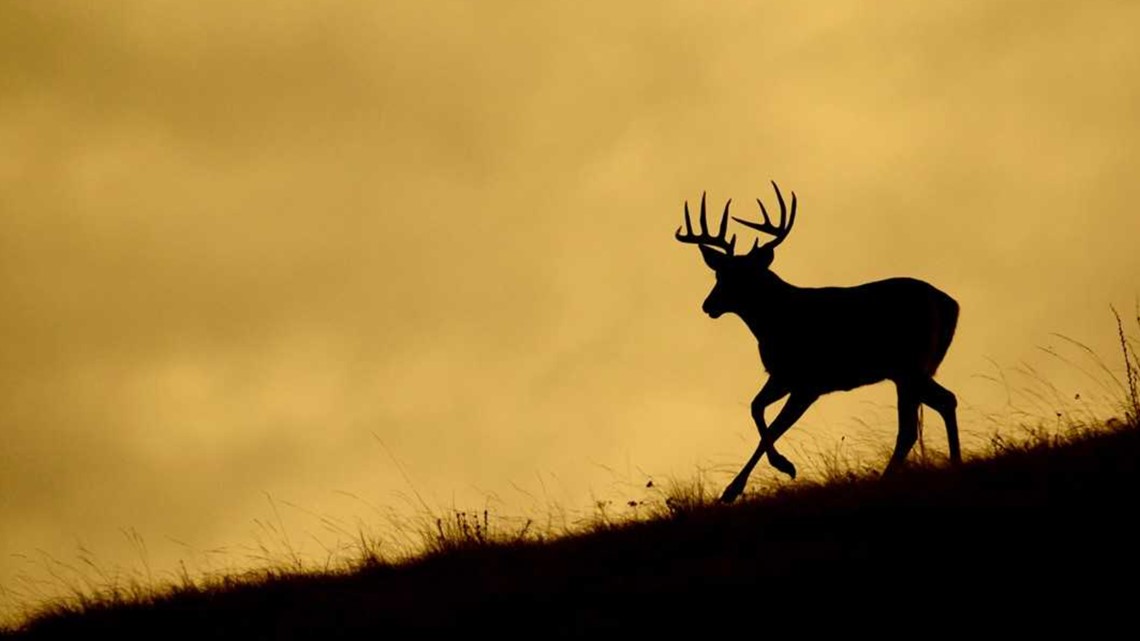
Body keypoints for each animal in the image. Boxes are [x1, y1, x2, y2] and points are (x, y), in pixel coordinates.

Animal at [676, 182, 961, 503]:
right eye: (718, 273)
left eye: (743, 276)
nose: (708, 305)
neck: (776, 321)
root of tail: (950, 304)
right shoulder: (783, 376)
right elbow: (756, 407)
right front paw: (739, 485)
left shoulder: (809, 383)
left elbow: (774, 425)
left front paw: (778, 468)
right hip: (912, 369)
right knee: (945, 400)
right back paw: (955, 463)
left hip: (909, 364)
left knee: (911, 426)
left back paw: (888, 479)